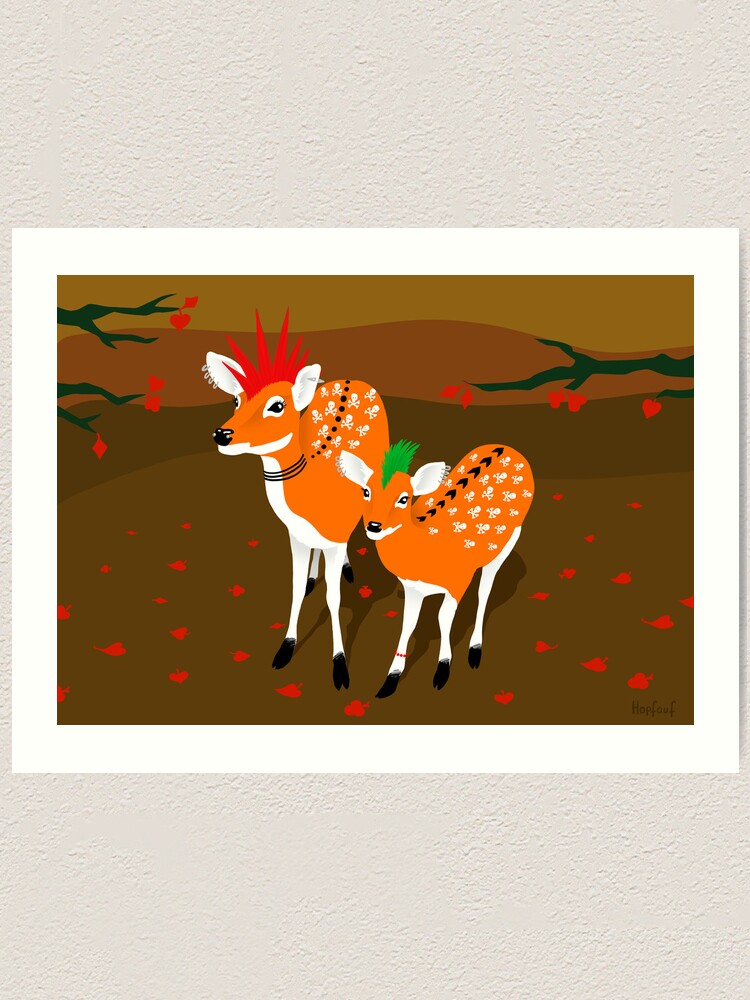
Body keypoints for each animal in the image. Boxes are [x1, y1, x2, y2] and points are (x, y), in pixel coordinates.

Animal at [202, 311, 389, 690]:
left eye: (277, 405)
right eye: (236, 400)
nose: (222, 434)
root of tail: (355, 378)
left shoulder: (334, 535)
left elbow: (334, 597)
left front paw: (340, 668)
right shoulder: (295, 534)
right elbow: (292, 587)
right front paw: (284, 648)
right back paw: (316, 577)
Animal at [336, 439, 533, 697]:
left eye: (404, 498)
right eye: (366, 491)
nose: (374, 526)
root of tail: (509, 448)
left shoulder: (458, 581)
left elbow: (443, 618)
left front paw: (443, 670)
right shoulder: (412, 587)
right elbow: (408, 622)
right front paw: (390, 679)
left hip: (509, 540)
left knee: (485, 591)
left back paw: (475, 649)